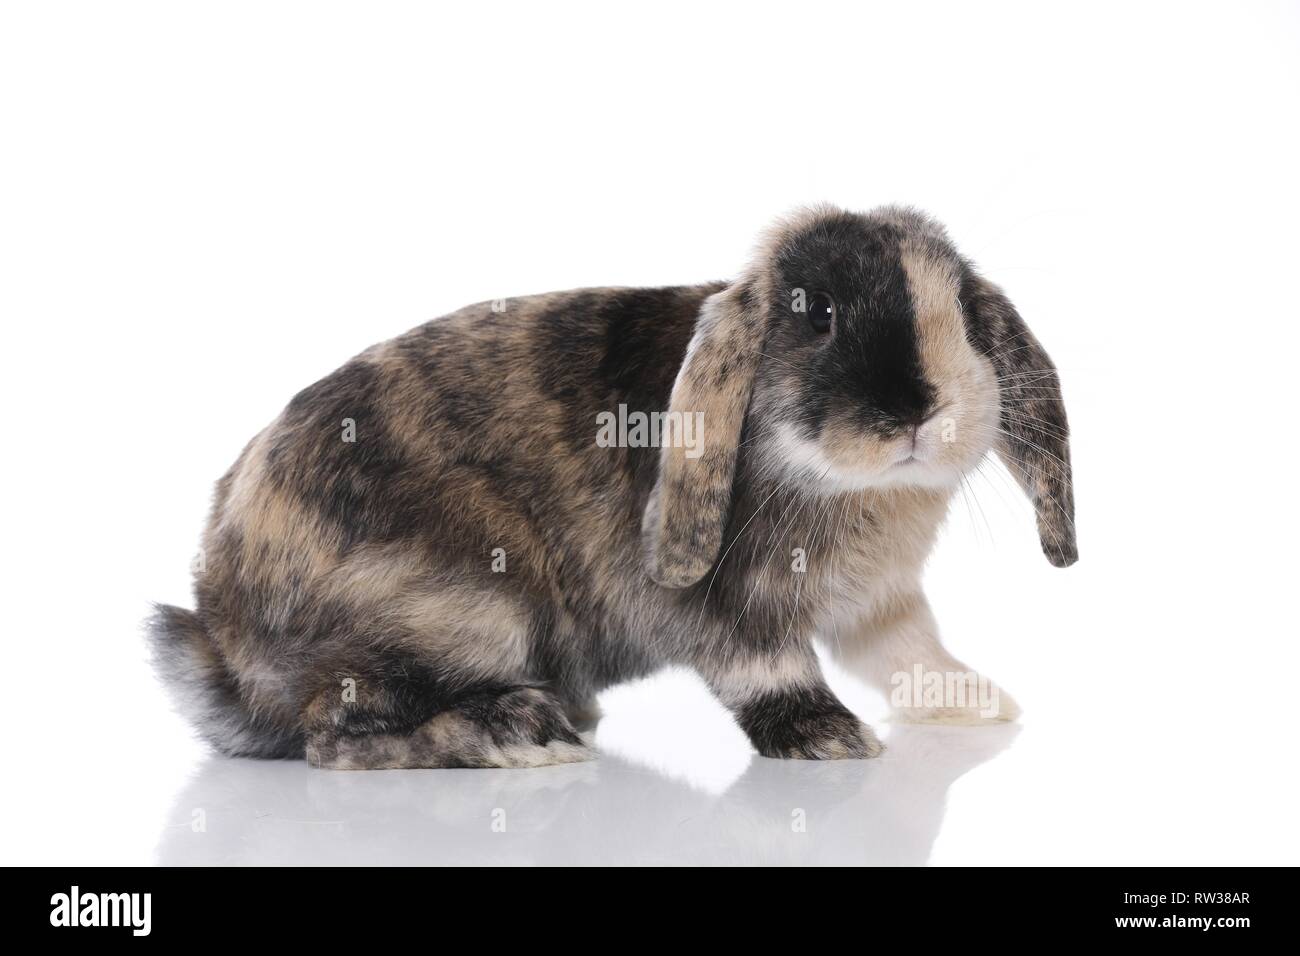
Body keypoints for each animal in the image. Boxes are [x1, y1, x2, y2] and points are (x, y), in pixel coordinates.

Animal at [148, 204, 1075, 770]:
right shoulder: (732, 608)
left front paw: (980, 703)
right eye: (817, 314)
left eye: (962, 309)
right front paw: (832, 740)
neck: (847, 487)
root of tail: (227, 637)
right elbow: (768, 670)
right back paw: (520, 734)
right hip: (471, 608)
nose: (916, 408)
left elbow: (910, 654)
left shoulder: (881, 605)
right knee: (336, 734)